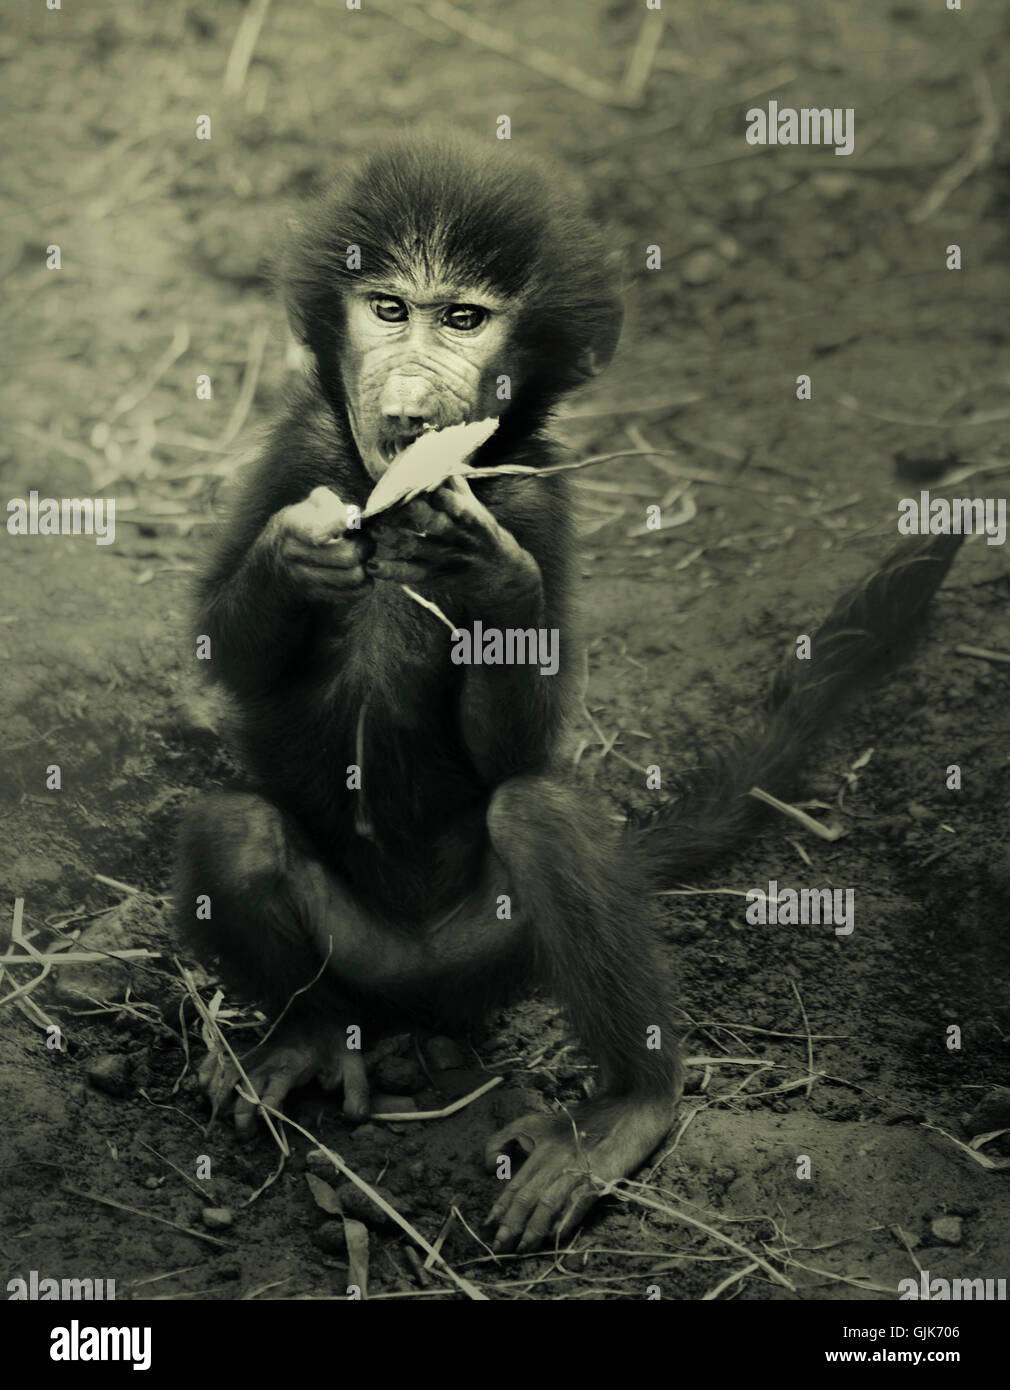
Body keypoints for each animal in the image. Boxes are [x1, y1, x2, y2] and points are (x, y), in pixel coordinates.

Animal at [176, 130, 962, 1254]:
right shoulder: (299, 446)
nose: (407, 402)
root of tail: (411, 983)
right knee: (233, 831)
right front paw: (296, 556)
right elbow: (224, 648)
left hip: (491, 954)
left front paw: (494, 577)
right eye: (388, 308)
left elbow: (514, 744)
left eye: (464, 319)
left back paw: (626, 1106)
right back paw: (306, 1039)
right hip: (350, 957)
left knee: (540, 814)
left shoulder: (538, 498)